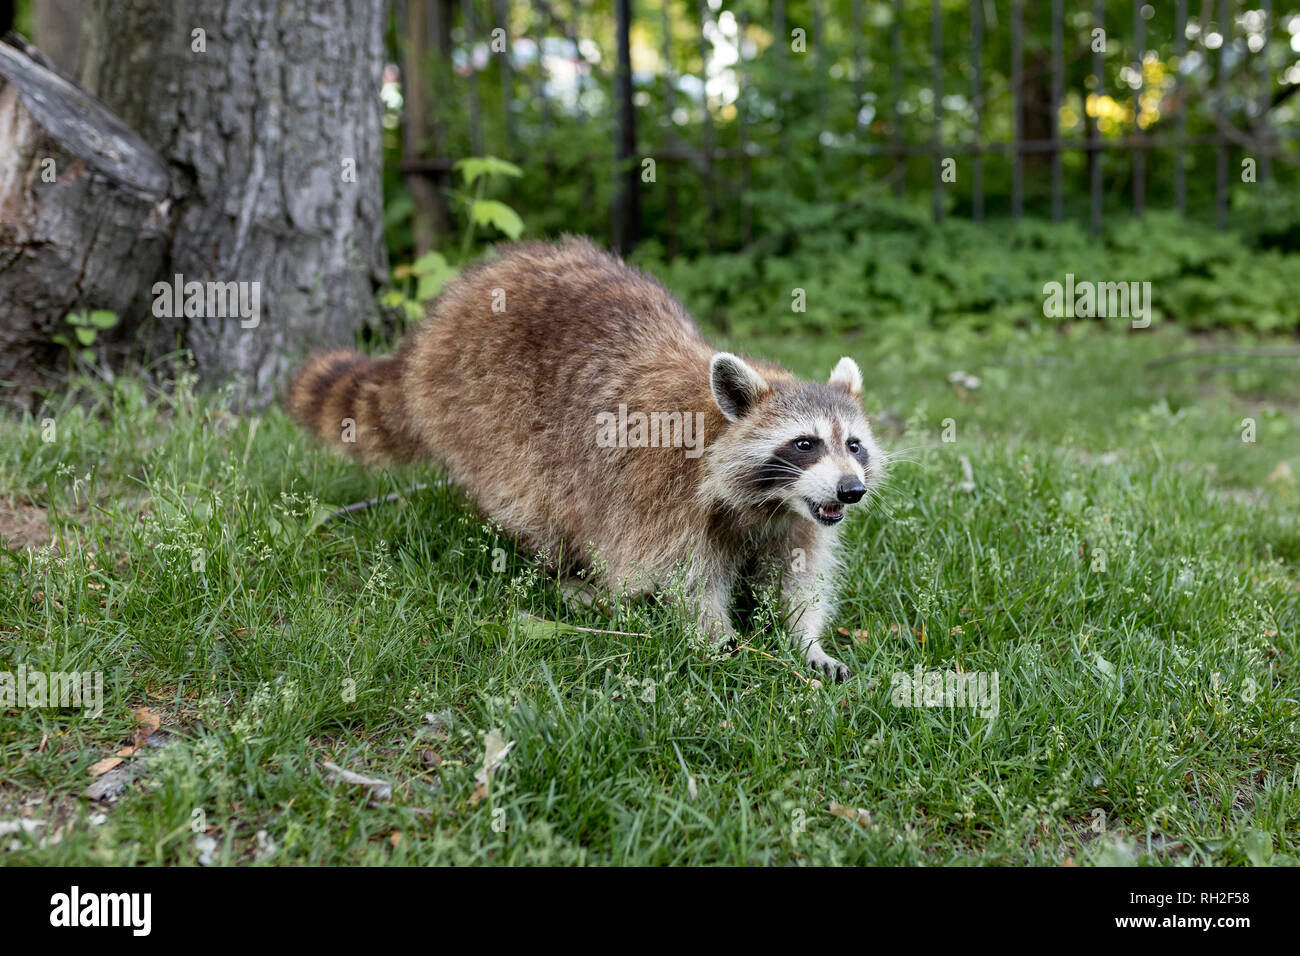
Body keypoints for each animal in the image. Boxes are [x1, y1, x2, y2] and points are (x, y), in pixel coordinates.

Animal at [288, 237, 885, 681]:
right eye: (805, 443)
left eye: (853, 445)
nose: (851, 490)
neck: (768, 500)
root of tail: (437, 325)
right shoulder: (660, 495)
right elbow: (683, 575)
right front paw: (715, 636)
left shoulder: (797, 518)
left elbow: (796, 577)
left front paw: (805, 640)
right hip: (479, 413)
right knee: (531, 503)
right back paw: (571, 582)